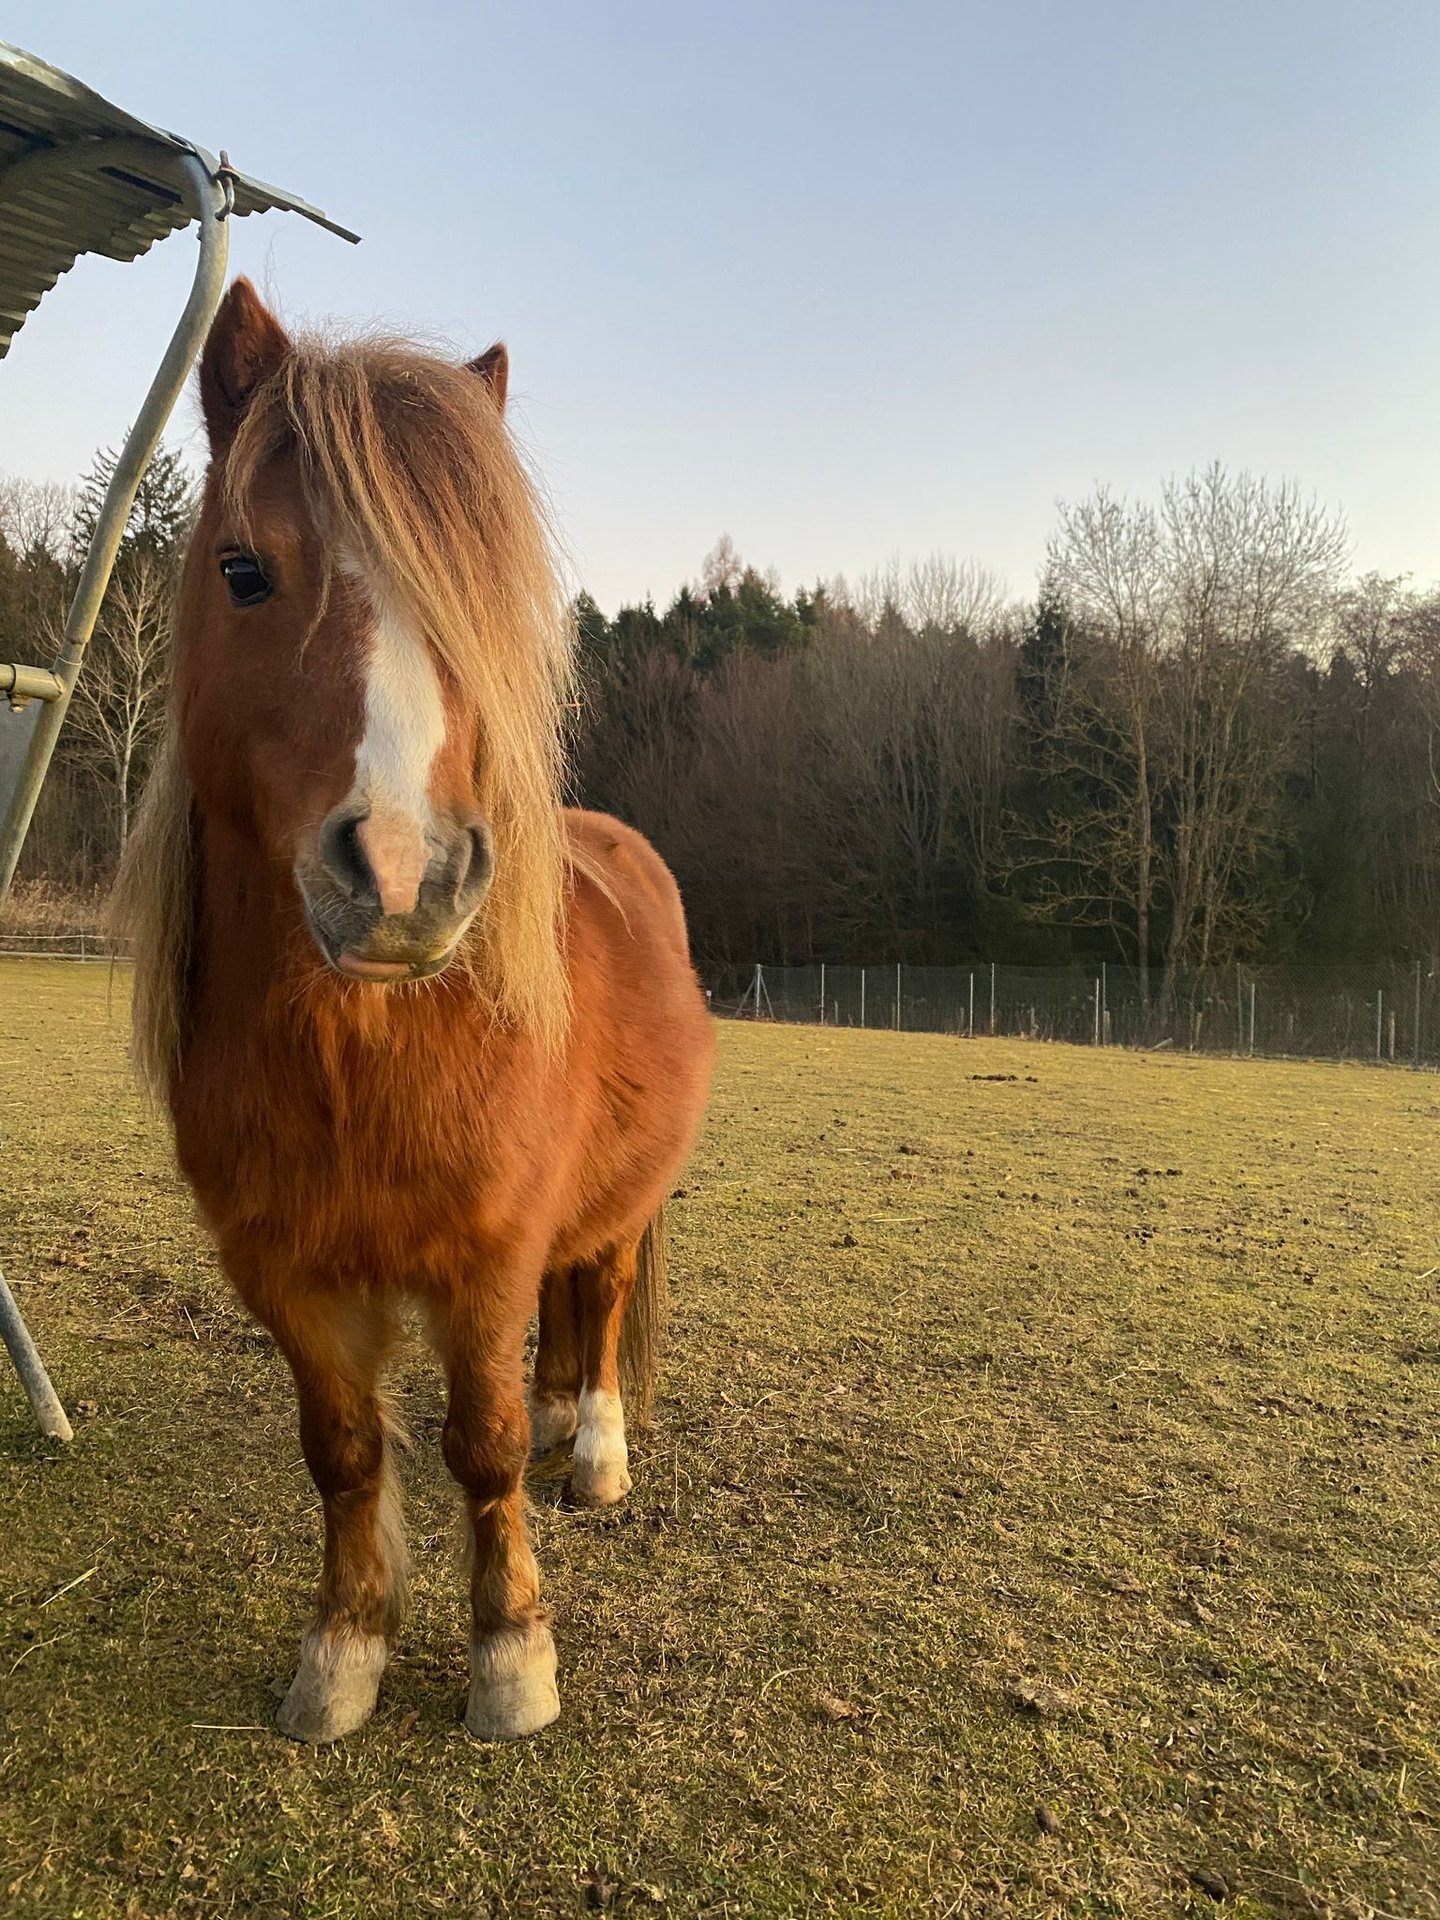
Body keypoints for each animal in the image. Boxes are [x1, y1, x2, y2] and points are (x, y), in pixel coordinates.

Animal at [114, 279, 715, 1745]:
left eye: (475, 599)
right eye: (244, 570)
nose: (401, 876)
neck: (362, 1055)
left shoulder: (482, 1257)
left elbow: (477, 1447)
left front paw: (510, 1657)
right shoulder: (285, 1270)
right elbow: (343, 1453)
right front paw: (343, 1654)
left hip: (624, 1204)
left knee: (601, 1293)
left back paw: (592, 1446)